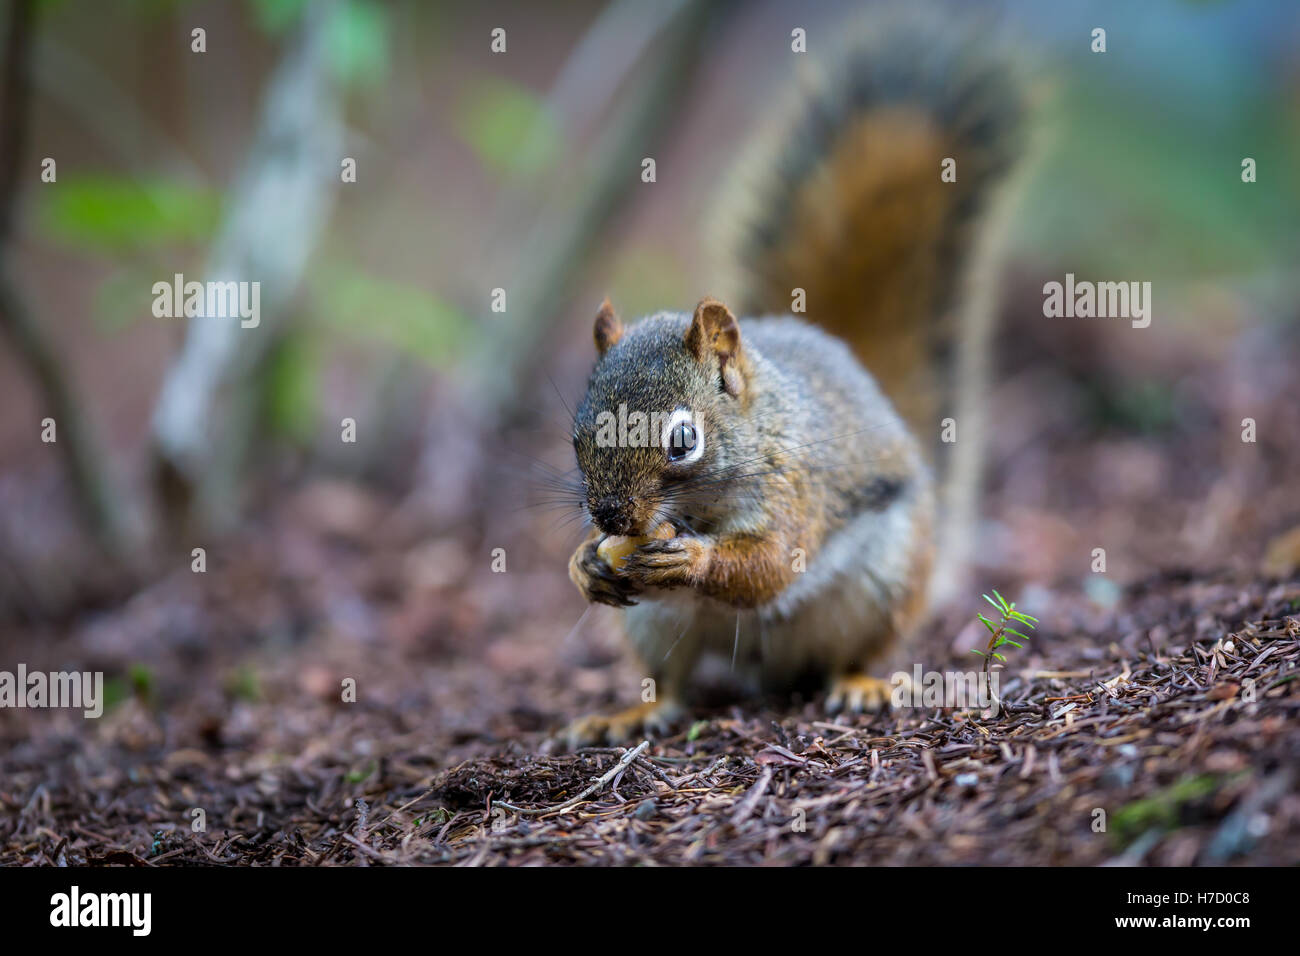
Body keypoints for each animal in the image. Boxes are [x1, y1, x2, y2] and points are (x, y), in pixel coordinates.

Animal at [564, 12, 1028, 746]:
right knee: (670, 684)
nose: (610, 517)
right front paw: (585, 563)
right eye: (576, 438)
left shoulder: (797, 489)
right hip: (655, 625)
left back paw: (859, 683)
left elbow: (774, 562)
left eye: (683, 441)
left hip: (884, 584)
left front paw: (694, 561)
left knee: (853, 651)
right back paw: (630, 712)